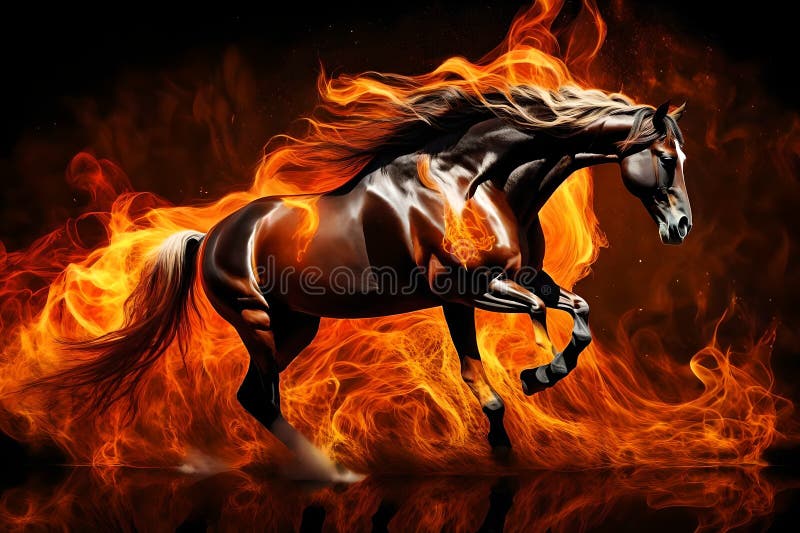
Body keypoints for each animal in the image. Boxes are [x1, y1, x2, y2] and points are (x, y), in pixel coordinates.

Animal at [37, 86, 691, 481]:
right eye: (665, 158)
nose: (681, 228)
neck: (475, 182)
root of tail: (212, 235)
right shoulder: (471, 285)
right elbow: (539, 316)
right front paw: (539, 372)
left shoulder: (485, 289)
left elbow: (566, 318)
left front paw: (509, 430)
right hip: (256, 321)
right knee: (262, 397)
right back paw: (331, 472)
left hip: (298, 325)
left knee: (253, 395)